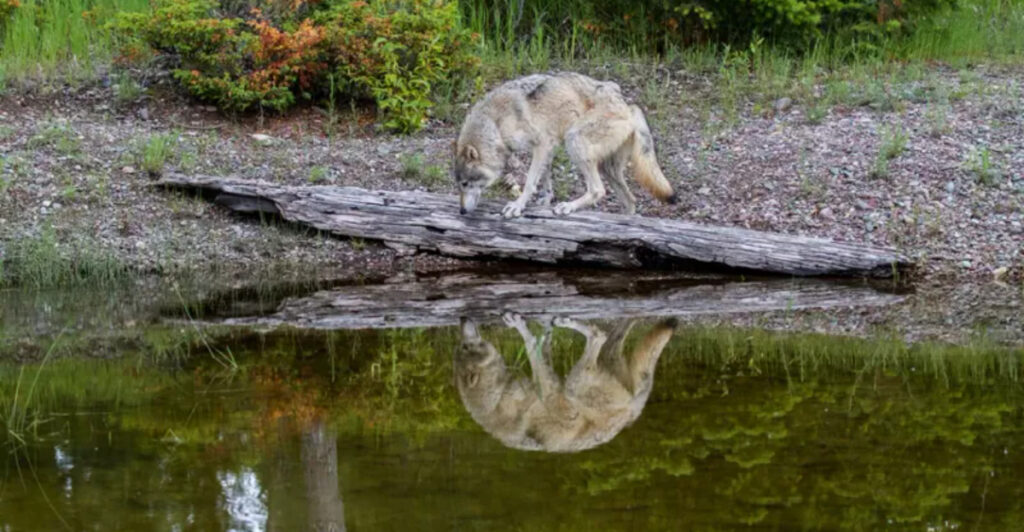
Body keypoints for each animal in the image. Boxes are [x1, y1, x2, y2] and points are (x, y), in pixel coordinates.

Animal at [453, 72, 677, 218]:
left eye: (465, 184)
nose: (462, 211)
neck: (495, 124)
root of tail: (627, 106)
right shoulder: (548, 147)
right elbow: (546, 179)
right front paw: (545, 200)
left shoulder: (542, 144)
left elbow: (530, 182)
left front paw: (517, 206)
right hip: (608, 168)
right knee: (630, 201)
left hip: (574, 140)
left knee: (598, 190)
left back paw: (567, 207)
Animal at [454, 314, 677, 452]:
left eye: (464, 346)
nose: (462, 318)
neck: (497, 397)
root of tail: (632, 411)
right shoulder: (548, 387)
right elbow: (535, 344)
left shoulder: (546, 387)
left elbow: (533, 344)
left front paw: (524, 324)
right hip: (580, 380)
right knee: (601, 335)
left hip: (577, 383)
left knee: (601, 334)